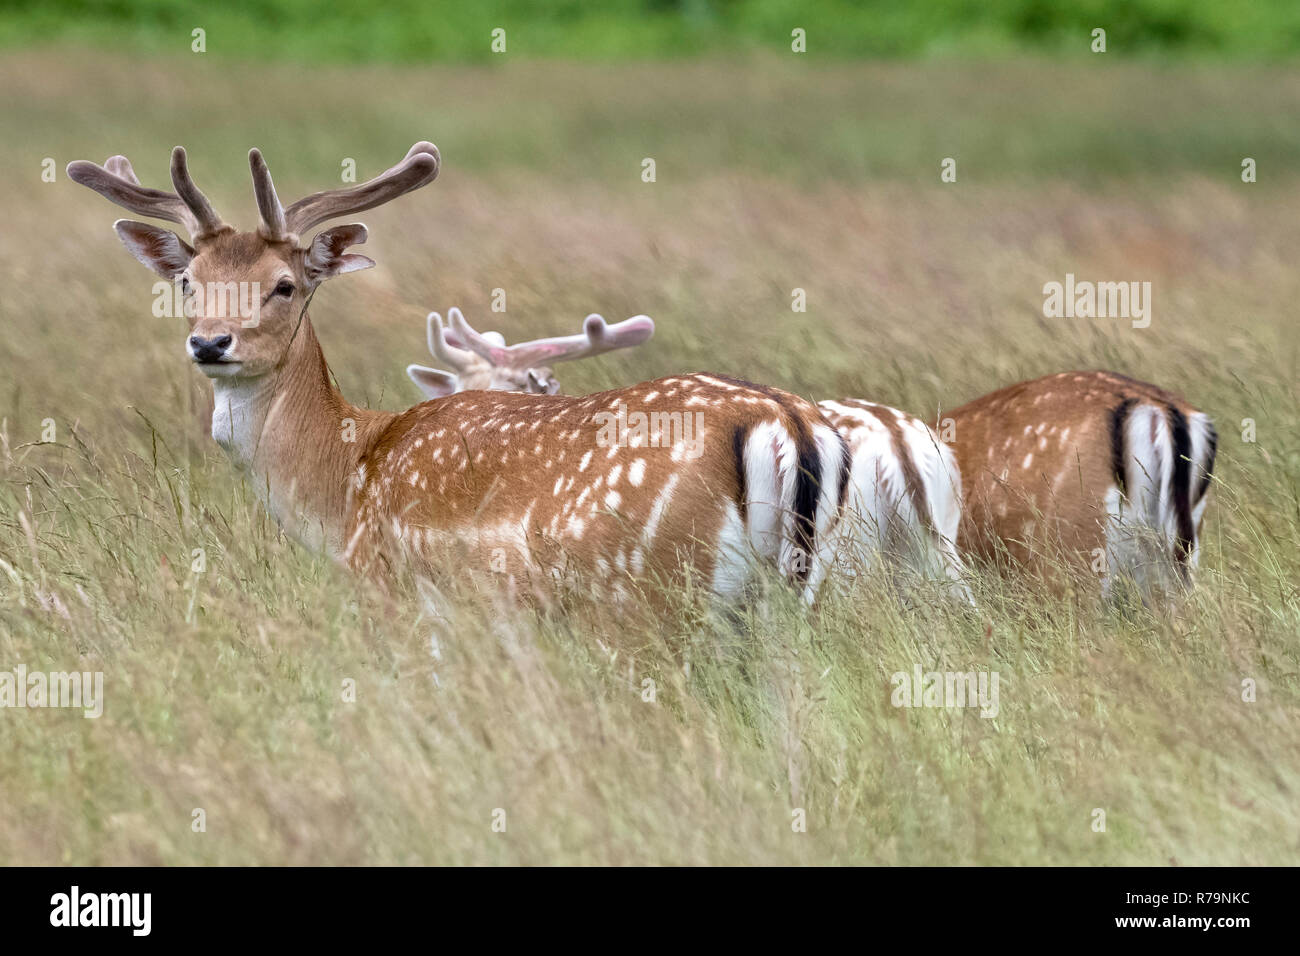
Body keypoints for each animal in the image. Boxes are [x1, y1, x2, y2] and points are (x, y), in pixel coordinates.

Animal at [67, 144, 852, 604]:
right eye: (188, 282)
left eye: (285, 284)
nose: (210, 343)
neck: (343, 481)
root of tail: (786, 424)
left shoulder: (393, 588)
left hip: (649, 585)